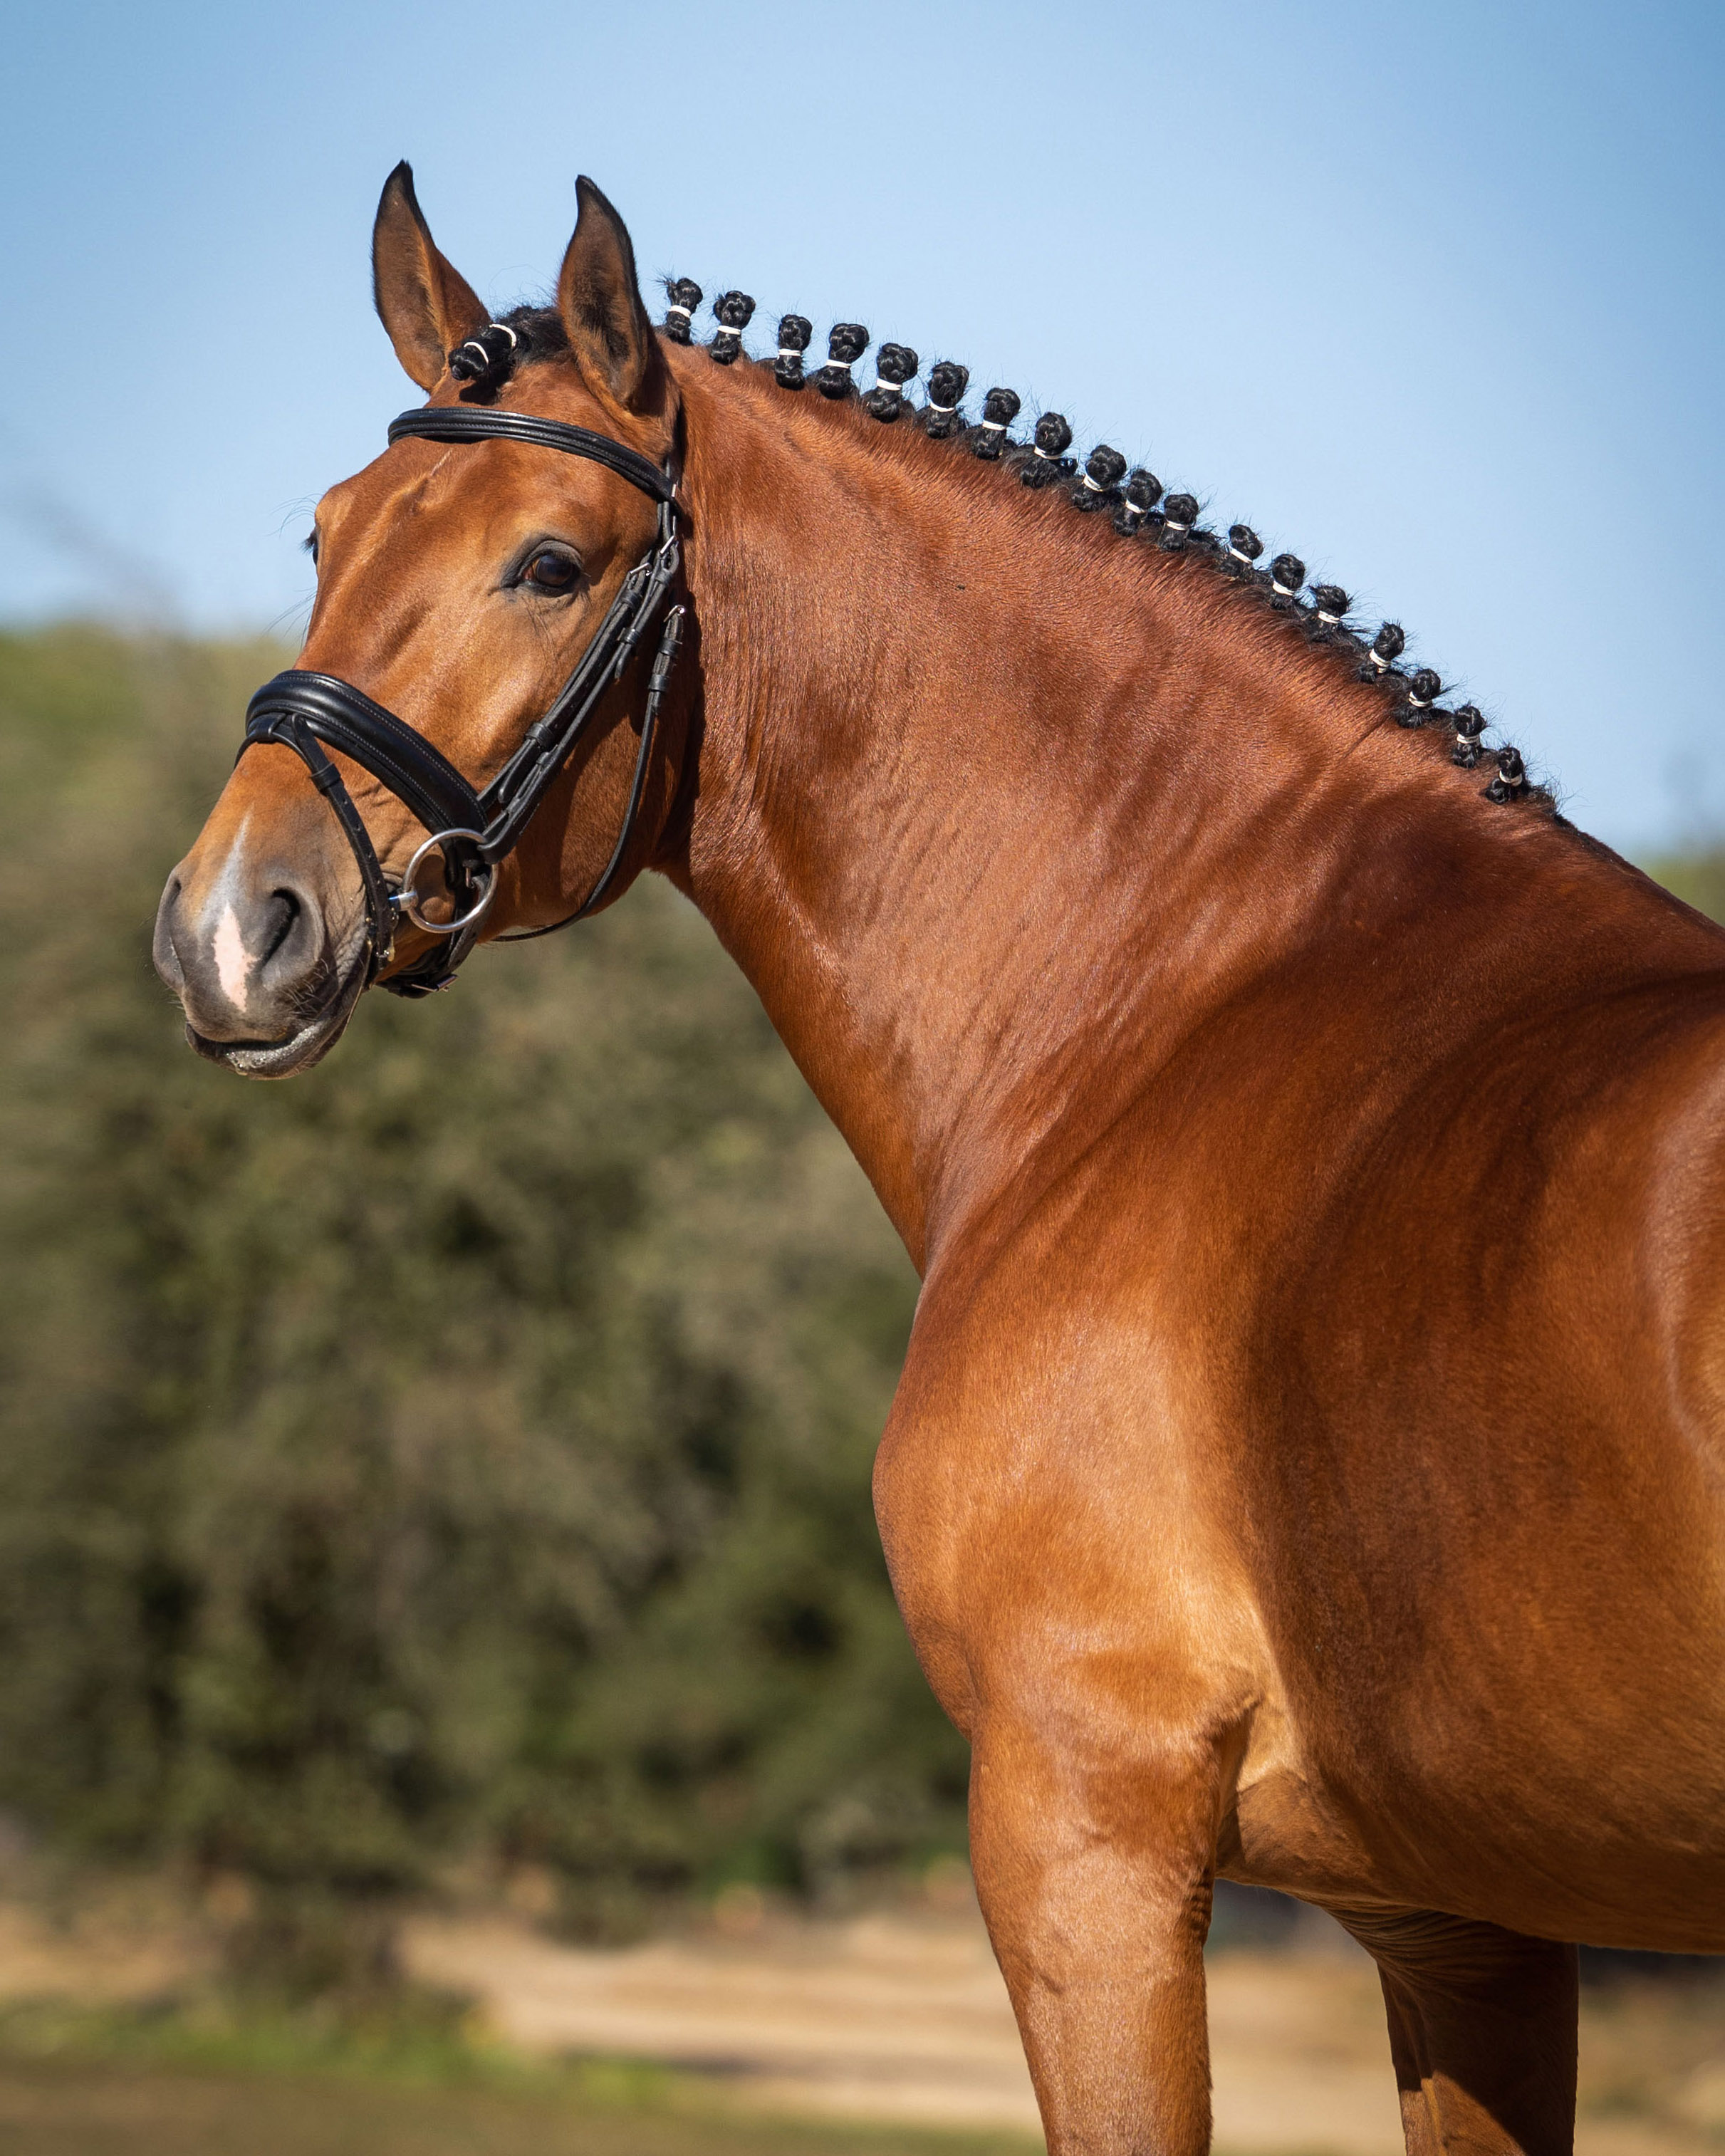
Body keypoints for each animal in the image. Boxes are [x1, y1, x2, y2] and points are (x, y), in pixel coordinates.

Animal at [153, 167, 1725, 2156]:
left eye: (551, 564)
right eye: (325, 531)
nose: (228, 926)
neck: (1183, 995)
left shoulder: (1082, 1835)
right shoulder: (1466, 1925)